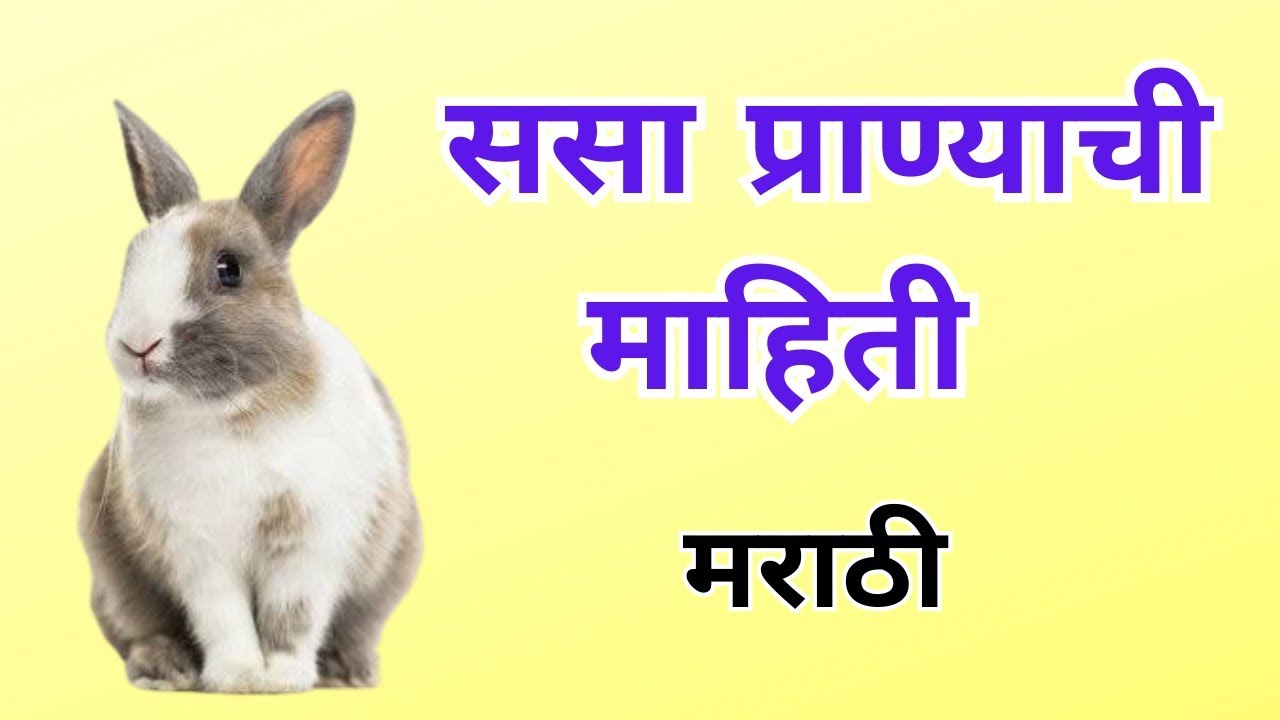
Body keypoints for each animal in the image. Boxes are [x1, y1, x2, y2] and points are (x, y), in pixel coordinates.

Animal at [79, 92, 421, 693]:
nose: (137, 344)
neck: (232, 410)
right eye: (130, 263)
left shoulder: (310, 541)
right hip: (113, 575)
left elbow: (293, 614)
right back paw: (165, 670)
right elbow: (224, 616)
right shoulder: (197, 549)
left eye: (229, 269)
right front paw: (237, 676)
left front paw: (281, 678)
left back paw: (349, 671)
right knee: (138, 628)